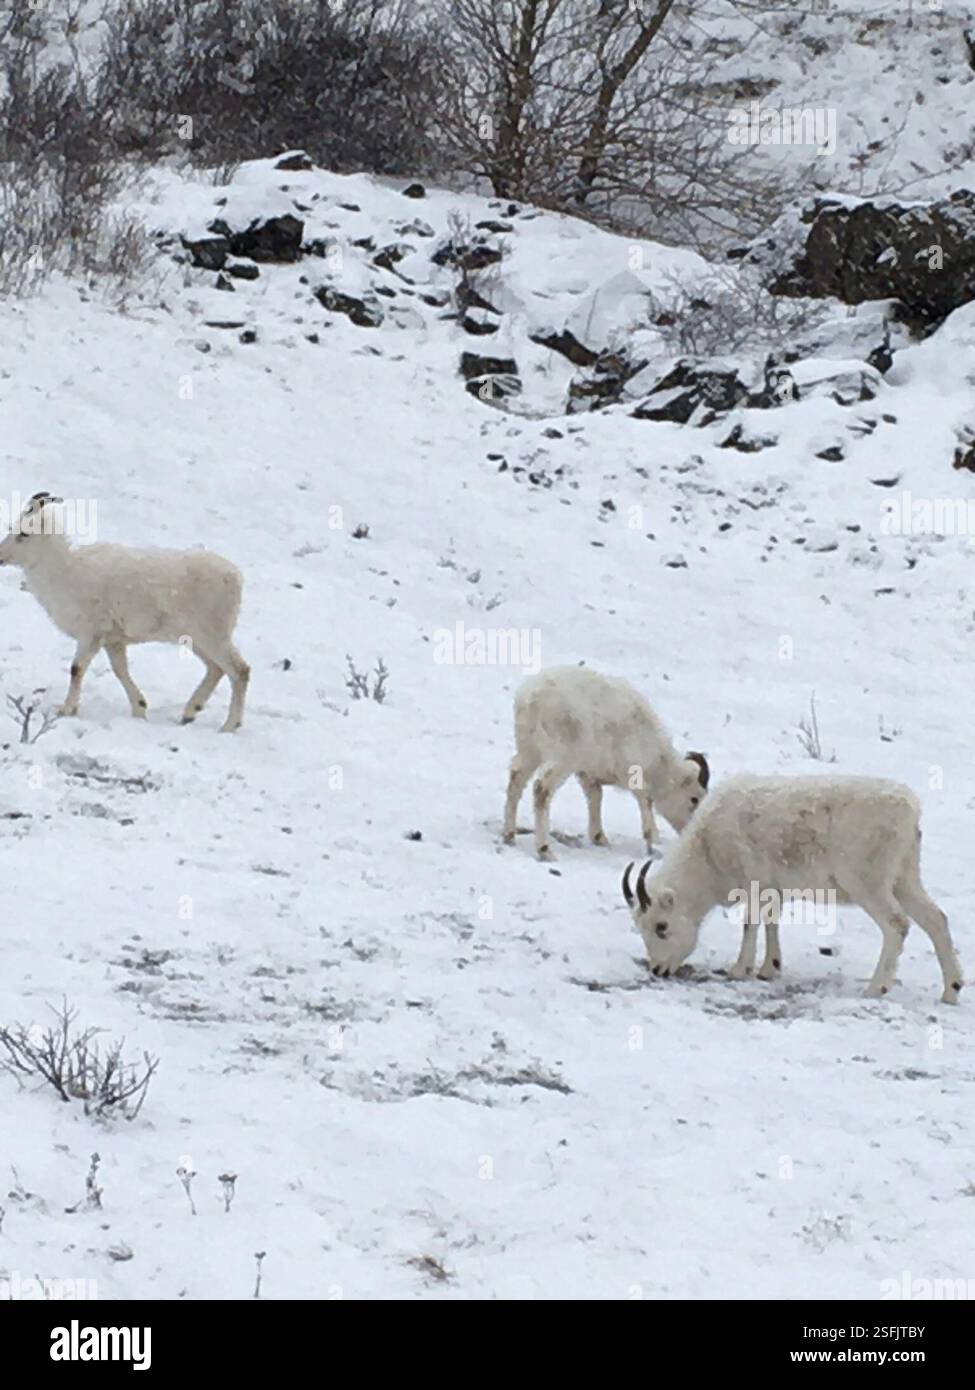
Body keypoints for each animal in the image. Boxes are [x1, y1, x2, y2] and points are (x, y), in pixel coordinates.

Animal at [0, 493, 250, 732]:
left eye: (24, 534)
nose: (0, 557)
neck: (64, 571)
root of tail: (236, 576)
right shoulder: (113, 641)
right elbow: (120, 670)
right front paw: (139, 710)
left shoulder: (90, 635)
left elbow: (76, 670)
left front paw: (66, 710)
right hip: (196, 640)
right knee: (216, 669)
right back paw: (189, 714)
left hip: (213, 637)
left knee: (239, 671)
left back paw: (228, 726)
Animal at [502, 664, 709, 861]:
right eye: (694, 799)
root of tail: (531, 698)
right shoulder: (634, 777)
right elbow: (645, 803)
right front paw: (652, 840)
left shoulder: (587, 775)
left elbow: (596, 797)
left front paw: (599, 838)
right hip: (561, 760)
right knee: (542, 789)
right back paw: (545, 851)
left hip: (530, 752)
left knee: (516, 779)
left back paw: (509, 836)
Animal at [621, 773, 964, 1004]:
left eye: (661, 927)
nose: (658, 970)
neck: (707, 850)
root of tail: (910, 809)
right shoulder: (774, 890)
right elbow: (772, 922)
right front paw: (768, 970)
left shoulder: (754, 885)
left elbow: (751, 923)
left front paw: (740, 970)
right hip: (905, 880)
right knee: (936, 919)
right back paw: (951, 991)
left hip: (870, 885)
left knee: (897, 925)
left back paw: (875, 988)